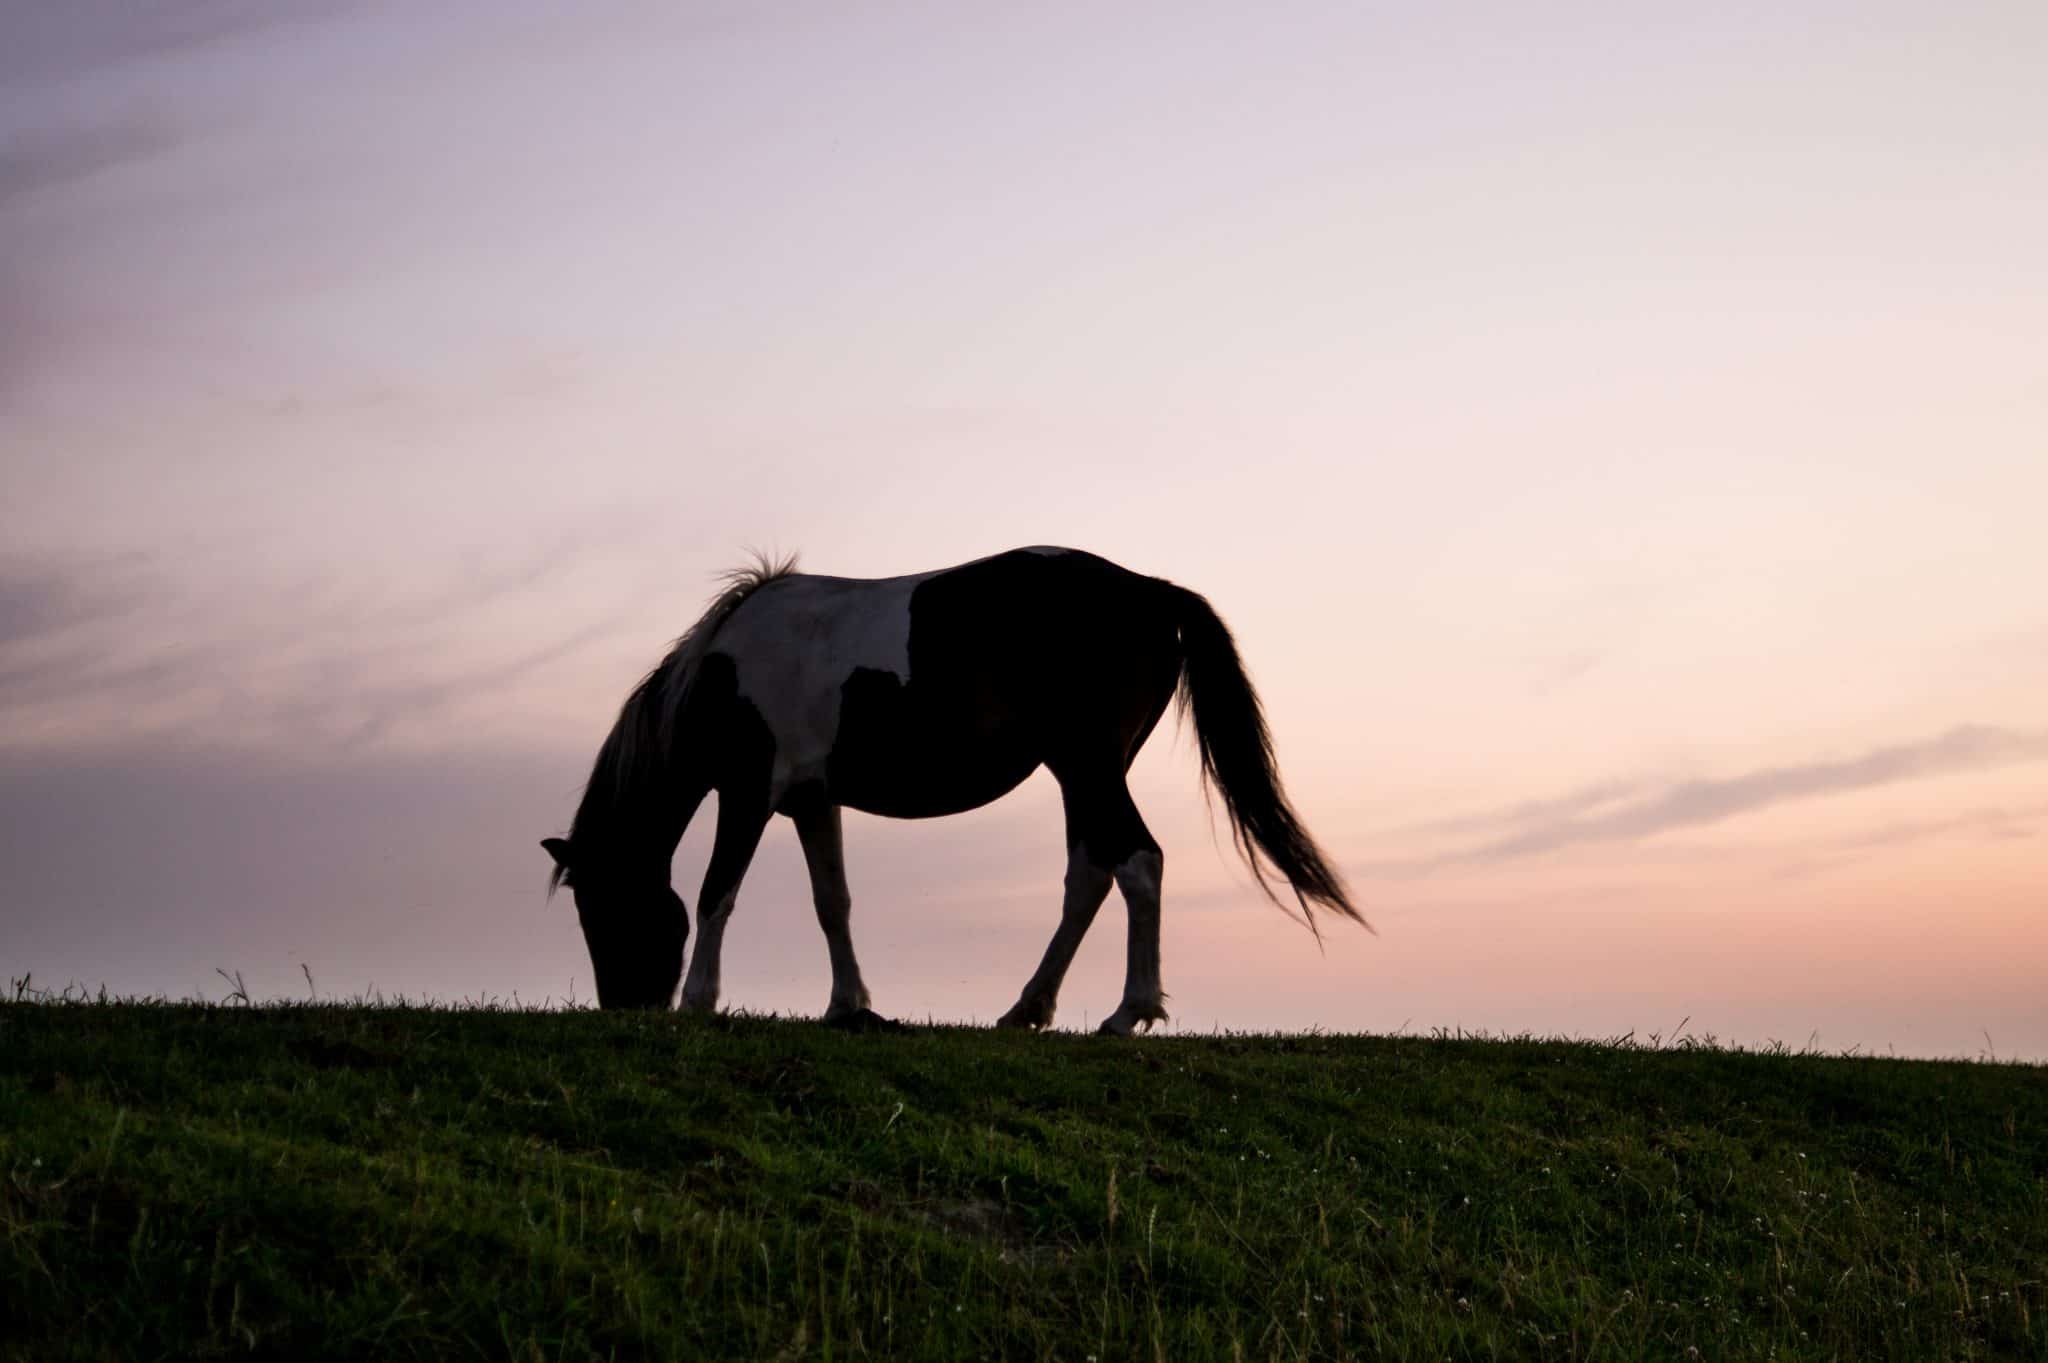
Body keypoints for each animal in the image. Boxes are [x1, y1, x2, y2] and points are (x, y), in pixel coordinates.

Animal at [541, 546, 1363, 1034]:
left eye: (600, 908)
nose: (626, 1006)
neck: (723, 671)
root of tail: (1152, 593)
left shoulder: (748, 792)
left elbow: (719, 892)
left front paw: (698, 1001)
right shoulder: (812, 800)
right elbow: (832, 901)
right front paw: (849, 1006)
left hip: (1090, 766)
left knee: (1137, 863)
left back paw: (1128, 1011)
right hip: (1081, 774)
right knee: (1091, 874)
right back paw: (1028, 1008)